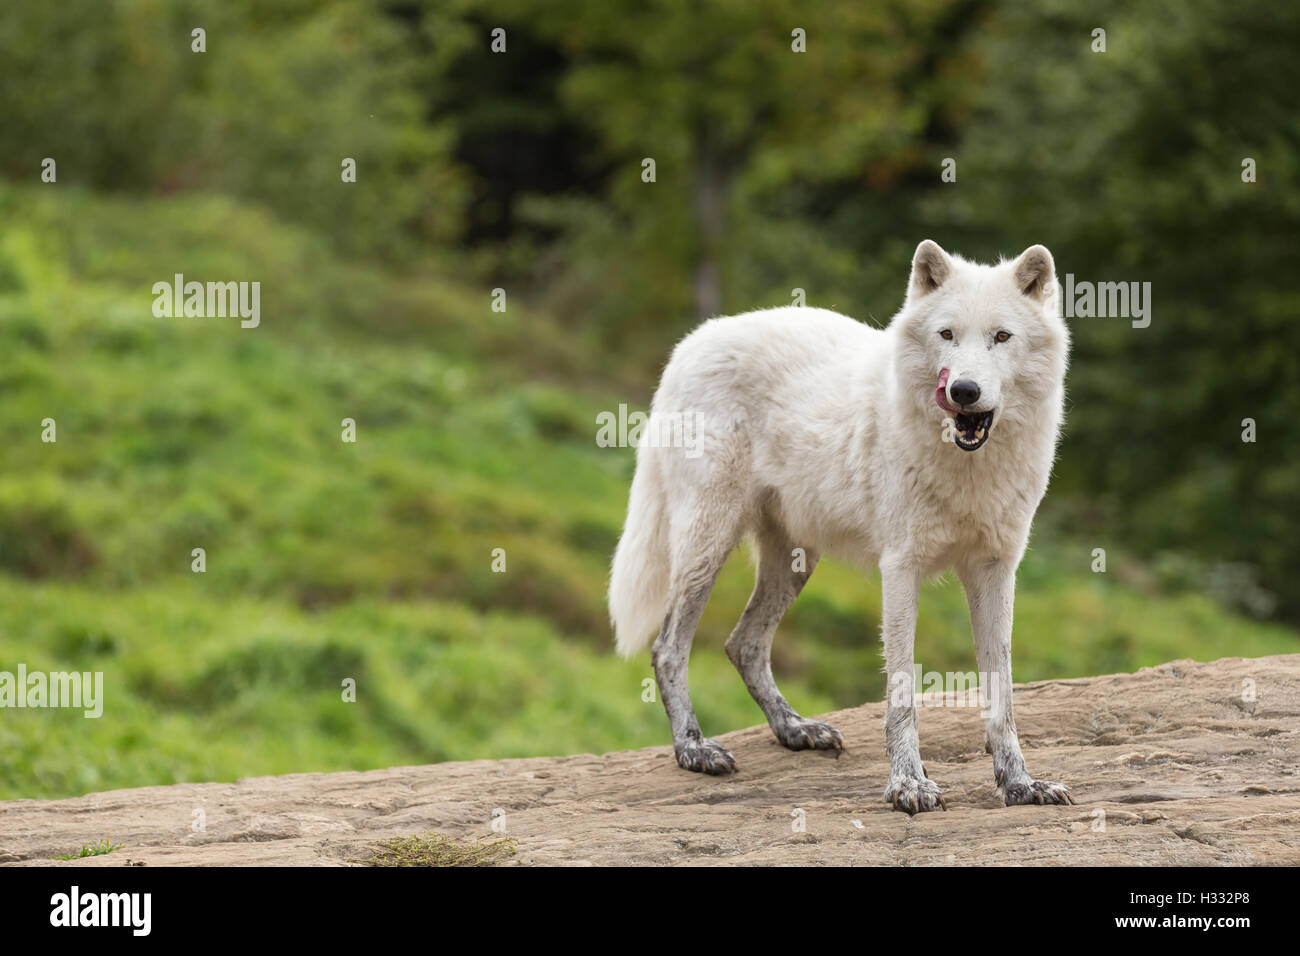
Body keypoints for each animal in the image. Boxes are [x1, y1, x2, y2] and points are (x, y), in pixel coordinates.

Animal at [608, 240, 1073, 813]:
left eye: (1001, 337)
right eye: (946, 334)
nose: (964, 390)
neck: (968, 468)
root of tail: (692, 342)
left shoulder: (996, 570)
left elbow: (1002, 693)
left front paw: (1020, 784)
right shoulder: (900, 568)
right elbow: (902, 690)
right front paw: (908, 785)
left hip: (793, 563)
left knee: (743, 644)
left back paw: (793, 729)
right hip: (706, 548)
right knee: (668, 648)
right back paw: (694, 749)